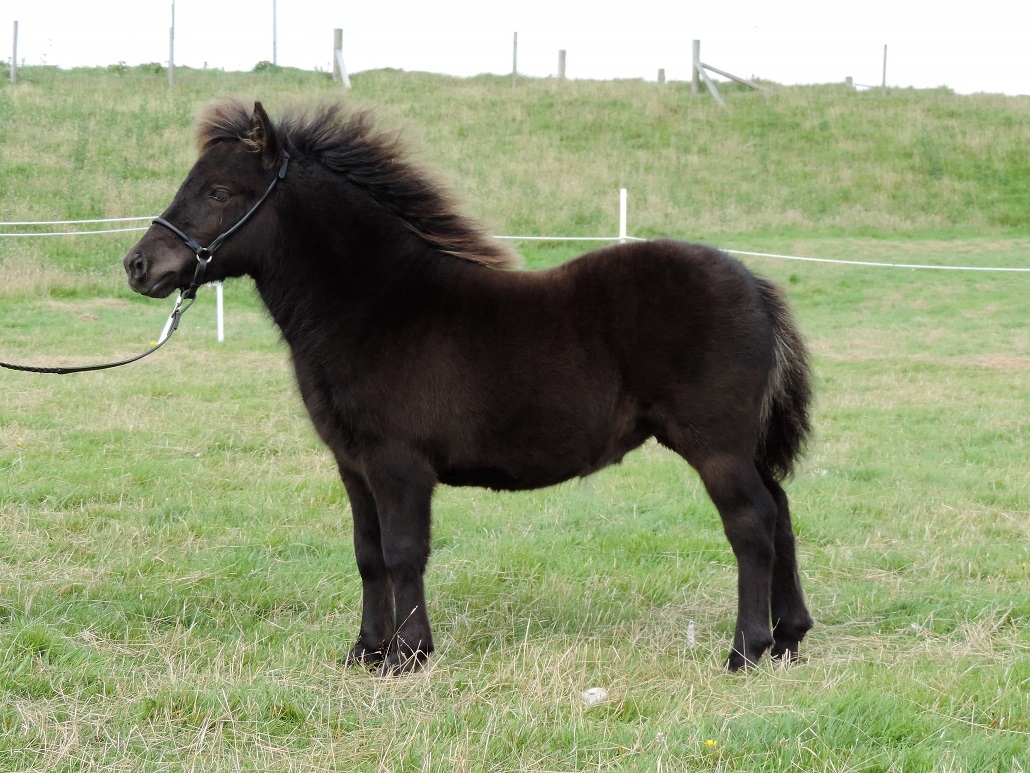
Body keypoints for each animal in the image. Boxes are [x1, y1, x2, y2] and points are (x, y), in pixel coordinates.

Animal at [124, 99, 815, 674]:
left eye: (219, 191)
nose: (138, 265)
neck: (376, 305)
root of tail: (754, 286)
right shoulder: (353, 463)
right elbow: (367, 553)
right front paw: (365, 652)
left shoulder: (398, 463)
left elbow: (403, 551)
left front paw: (408, 656)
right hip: (743, 447)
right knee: (780, 511)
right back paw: (789, 638)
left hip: (715, 445)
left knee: (751, 524)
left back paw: (745, 650)